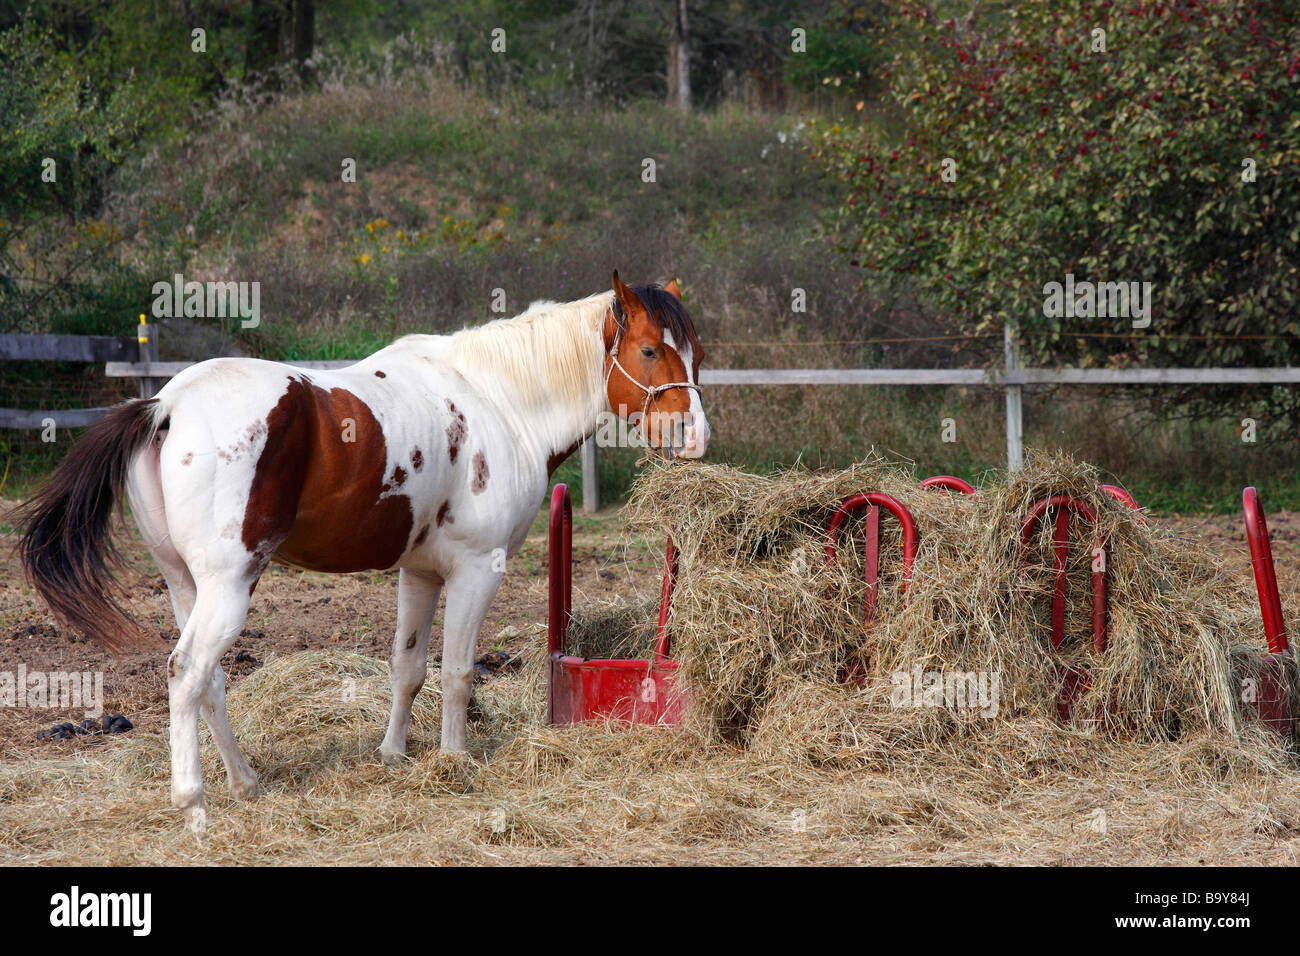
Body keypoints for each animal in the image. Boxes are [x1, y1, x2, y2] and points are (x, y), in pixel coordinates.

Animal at [17, 271, 709, 831]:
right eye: (649, 350)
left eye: (696, 353)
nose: (696, 437)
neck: (498, 400)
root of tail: (166, 403)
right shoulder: (476, 571)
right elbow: (458, 673)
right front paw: (454, 762)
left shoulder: (421, 573)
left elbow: (409, 669)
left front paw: (394, 755)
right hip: (229, 587)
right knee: (187, 673)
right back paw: (193, 803)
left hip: (186, 586)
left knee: (208, 681)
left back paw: (244, 782)